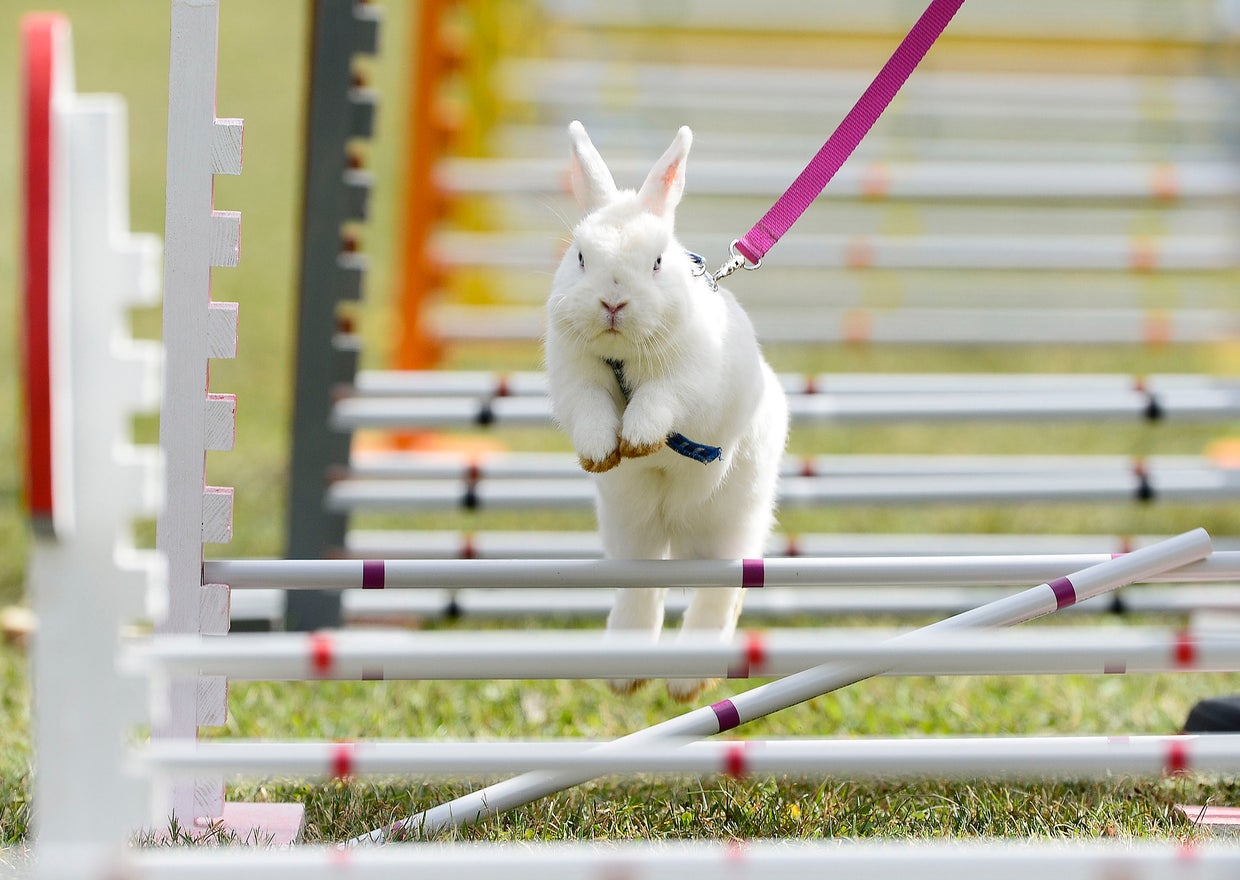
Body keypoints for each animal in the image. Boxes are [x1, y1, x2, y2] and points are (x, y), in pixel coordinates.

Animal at [543, 121, 789, 702]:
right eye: (580, 256)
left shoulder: (688, 384)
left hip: (736, 523)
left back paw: (685, 682)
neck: (625, 357)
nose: (613, 303)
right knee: (643, 585)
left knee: (720, 595)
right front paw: (604, 453)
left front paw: (638, 439)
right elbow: (591, 411)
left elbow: (660, 402)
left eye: (656, 263)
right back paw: (626, 674)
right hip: (631, 527)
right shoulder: (575, 381)